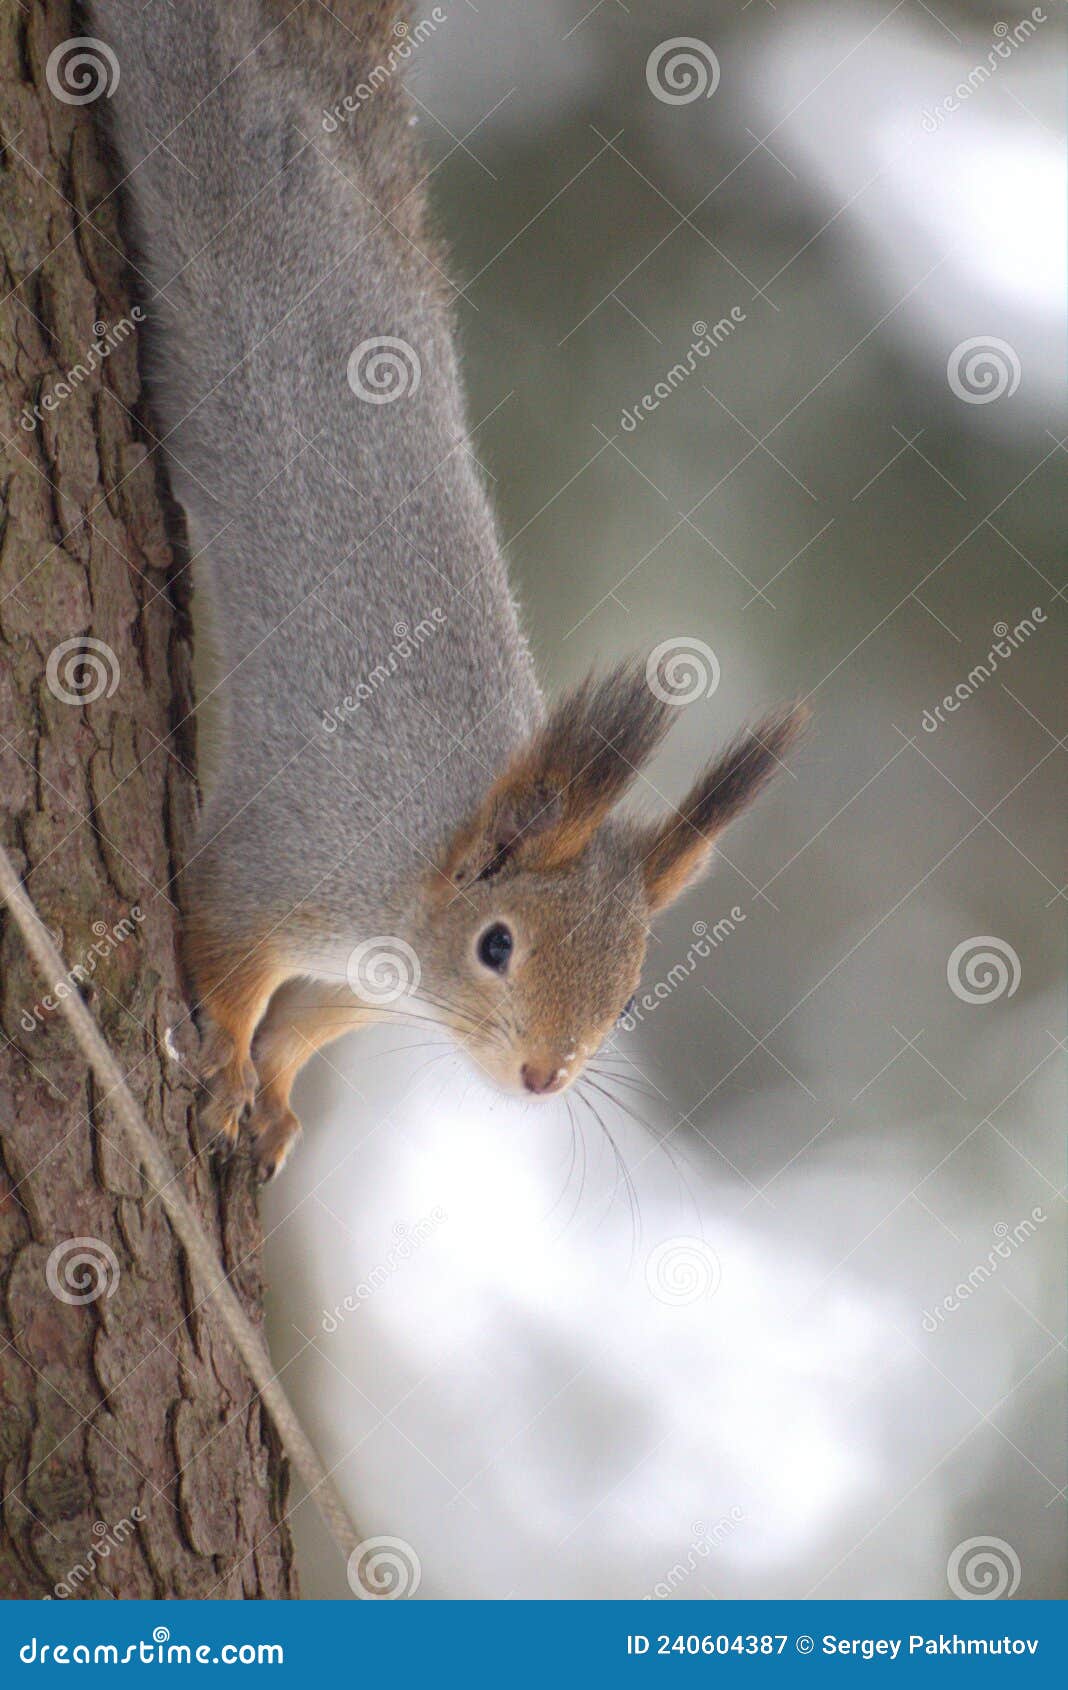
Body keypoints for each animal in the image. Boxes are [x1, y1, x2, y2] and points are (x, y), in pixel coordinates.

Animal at [88, 0, 808, 1178]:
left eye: (629, 989)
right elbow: (224, 955)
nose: (543, 1077)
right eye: (498, 945)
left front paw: (275, 1096)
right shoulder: (288, 858)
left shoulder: (358, 986)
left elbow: (301, 1028)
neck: (417, 889)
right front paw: (228, 1062)